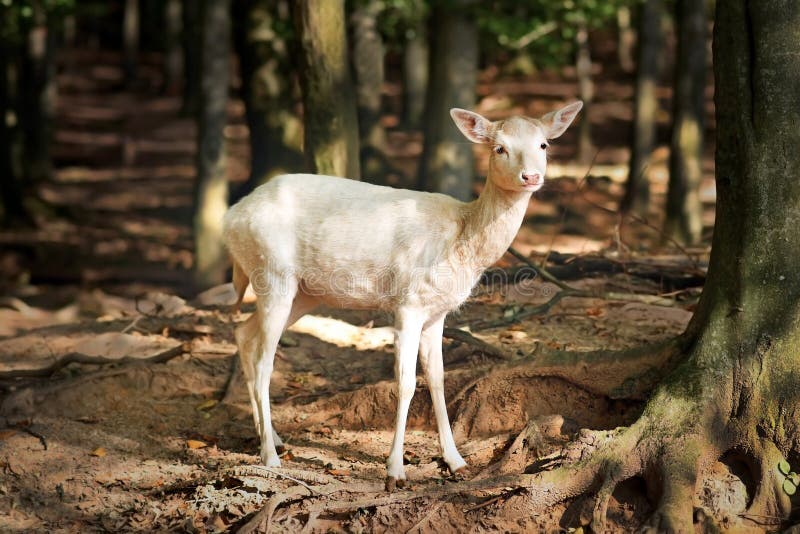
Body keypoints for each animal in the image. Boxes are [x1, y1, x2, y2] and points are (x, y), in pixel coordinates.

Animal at [222, 101, 582, 491]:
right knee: (264, 359)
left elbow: (437, 380)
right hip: (272, 272)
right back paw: (270, 457)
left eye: (544, 144)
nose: (531, 177)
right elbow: (407, 383)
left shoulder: (438, 310)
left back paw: (273, 438)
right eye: (499, 147)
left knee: (244, 333)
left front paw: (456, 462)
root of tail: (231, 215)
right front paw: (395, 470)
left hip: (305, 292)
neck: (462, 239)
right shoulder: (407, 302)